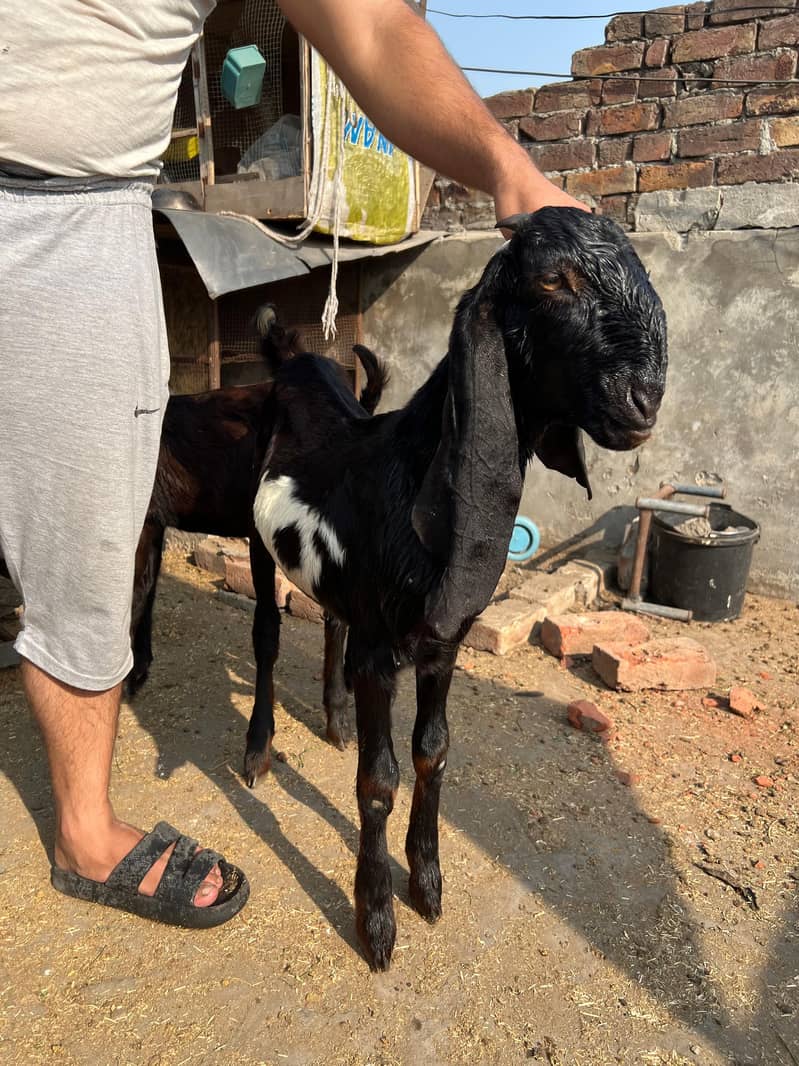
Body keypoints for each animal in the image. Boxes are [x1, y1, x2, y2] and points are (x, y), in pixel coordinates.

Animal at [245, 207, 668, 970]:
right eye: (552, 280)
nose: (644, 398)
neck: (411, 468)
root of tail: (293, 357)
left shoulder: (443, 642)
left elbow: (433, 751)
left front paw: (427, 884)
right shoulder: (381, 648)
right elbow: (379, 778)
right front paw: (376, 919)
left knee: (328, 619)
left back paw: (333, 720)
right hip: (255, 538)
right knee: (265, 633)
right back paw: (258, 751)